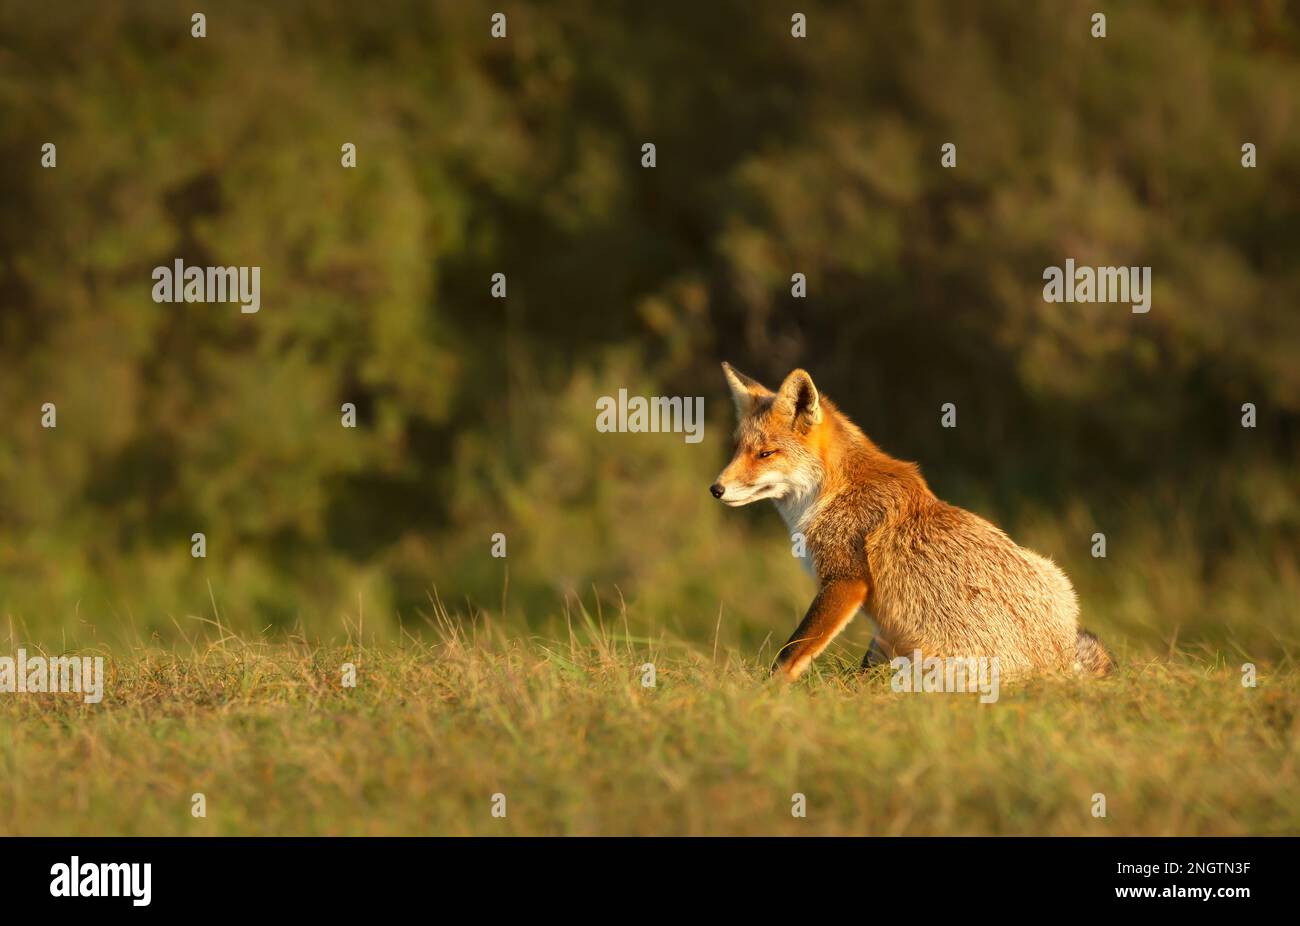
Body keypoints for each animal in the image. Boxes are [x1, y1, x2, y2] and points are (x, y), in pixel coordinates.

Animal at [711, 362, 1114, 683]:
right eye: (737, 449)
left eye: (765, 454)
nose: (716, 488)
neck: (833, 491)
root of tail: (1054, 665)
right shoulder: (881, 626)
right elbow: (864, 663)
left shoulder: (845, 580)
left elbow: (791, 653)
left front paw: (765, 694)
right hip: (1056, 573)